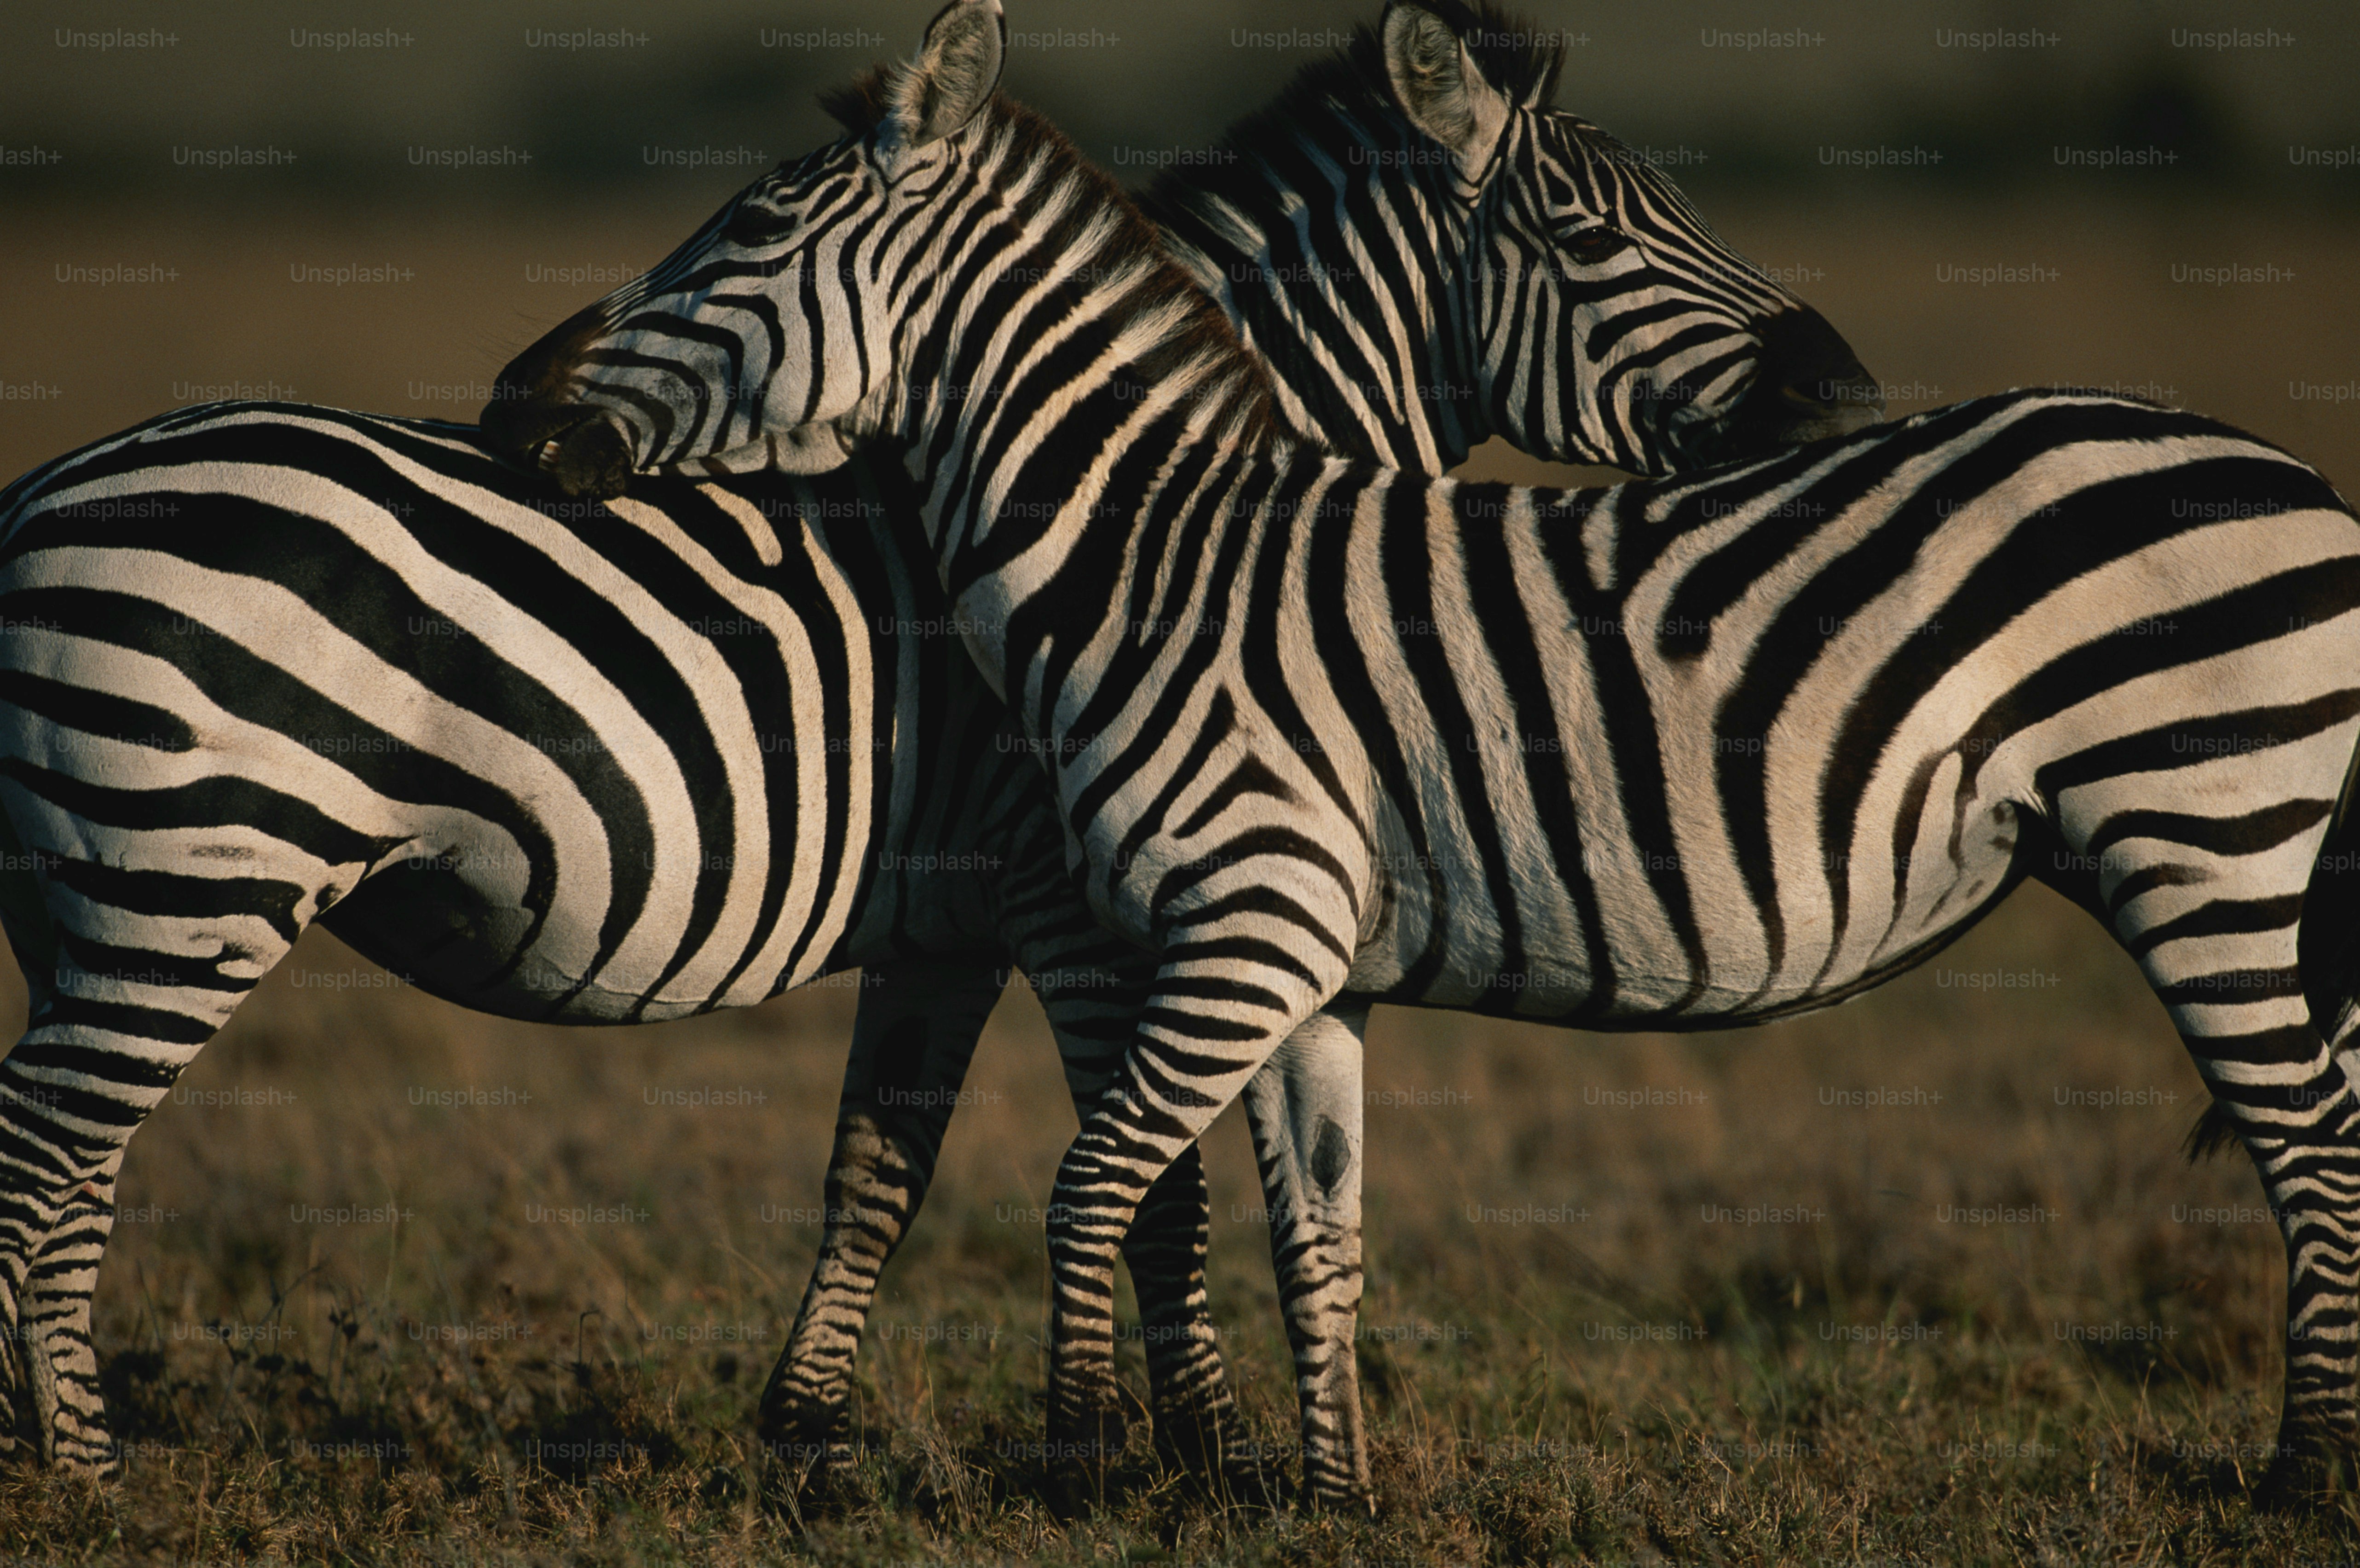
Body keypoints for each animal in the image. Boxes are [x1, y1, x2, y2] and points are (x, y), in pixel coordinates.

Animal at [0, 2, 1868, 1492]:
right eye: (1600, 235)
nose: (1847, 394)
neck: (1159, 508)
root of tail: (38, 493)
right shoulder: (1083, 899)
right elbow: (1163, 1183)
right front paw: (1176, 1455)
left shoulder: (949, 925)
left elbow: (875, 1172)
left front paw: (805, 1439)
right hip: (192, 875)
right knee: (53, 1149)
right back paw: (88, 1472)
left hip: (88, 900)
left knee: (56, 1156)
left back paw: (46, 1443)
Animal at [489, 0, 2360, 1510]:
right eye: (1595, 227)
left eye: (745, 227)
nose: (515, 401)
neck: (1153, 546)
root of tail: (2301, 481)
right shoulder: (1293, 957)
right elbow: (1306, 1224)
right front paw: (1325, 1497)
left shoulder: (1205, 923)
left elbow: (1099, 1189)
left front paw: (1091, 1464)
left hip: (2211, 841)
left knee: (2314, 1147)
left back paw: (2298, 1476)